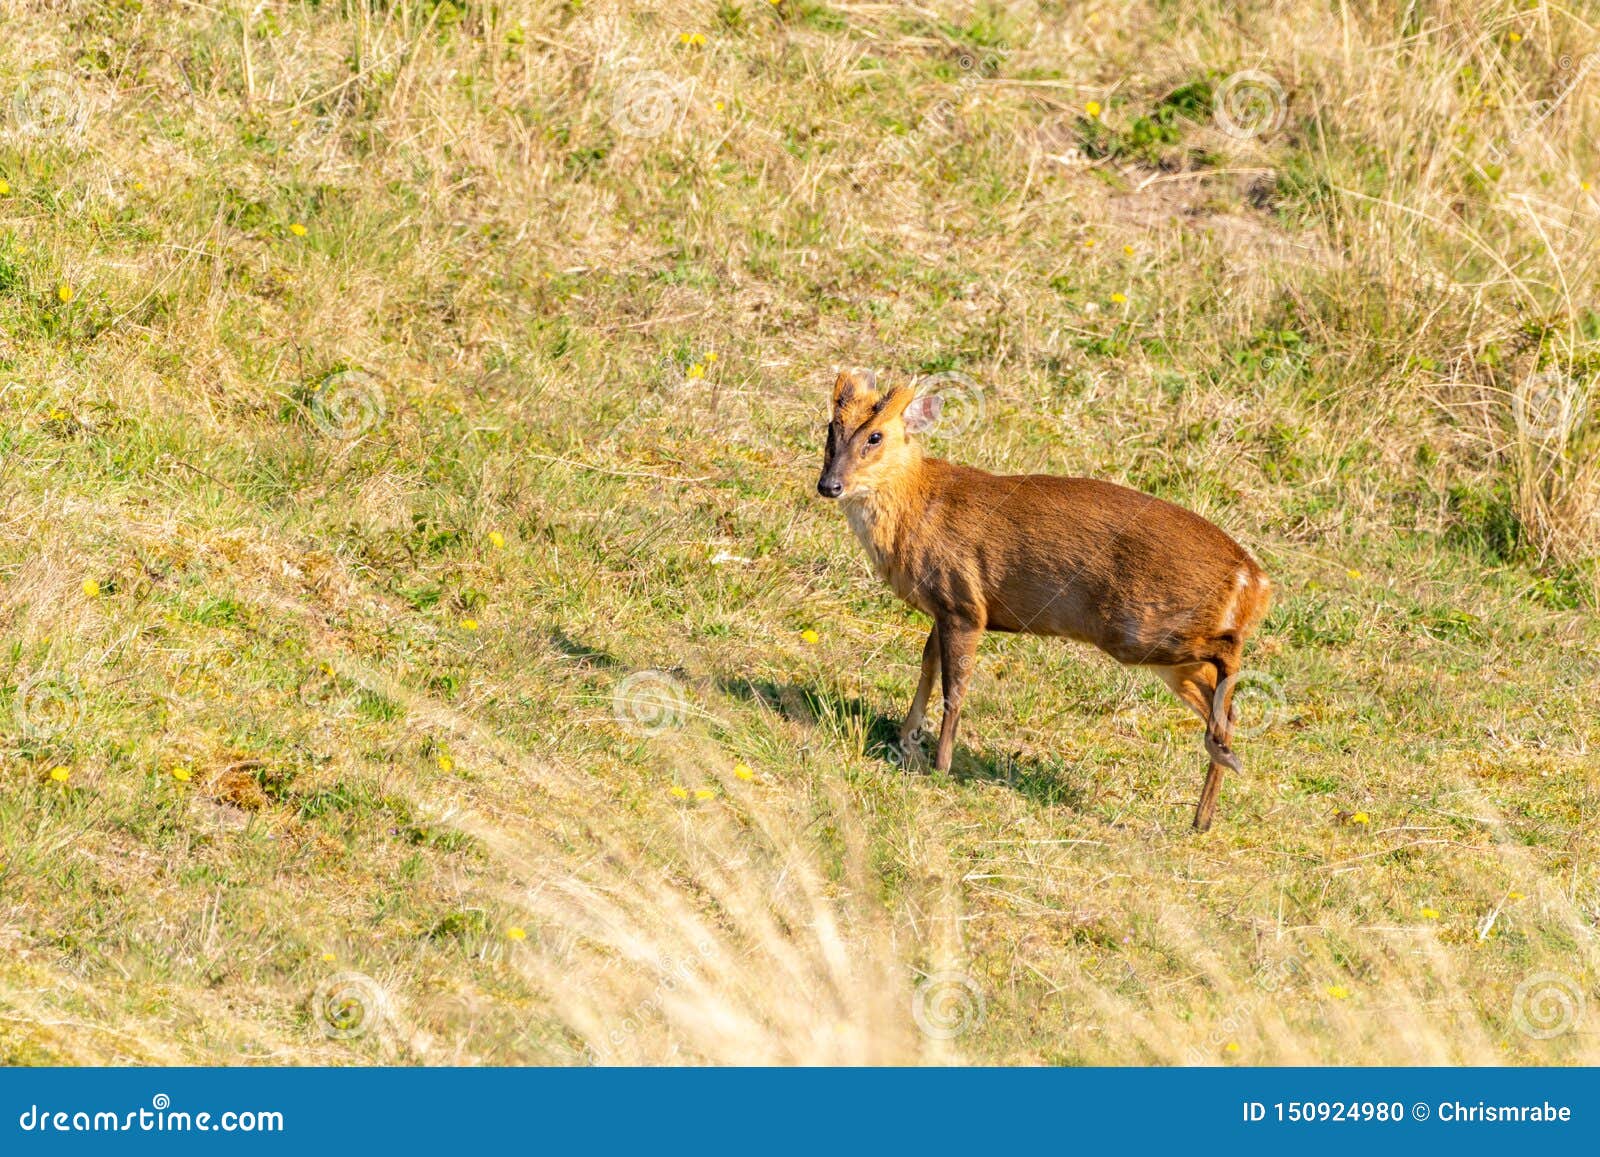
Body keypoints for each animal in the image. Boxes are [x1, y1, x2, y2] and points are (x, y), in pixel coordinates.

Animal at [816, 369, 1272, 831]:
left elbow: (954, 687)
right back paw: (1203, 814)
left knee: (1229, 656)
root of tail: (1255, 581)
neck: (917, 506)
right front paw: (905, 741)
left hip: (1140, 629)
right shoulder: (943, 608)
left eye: (875, 436)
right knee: (1226, 705)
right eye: (831, 429)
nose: (829, 485)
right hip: (1168, 655)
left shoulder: (964, 602)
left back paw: (1222, 761)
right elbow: (928, 667)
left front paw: (940, 766)